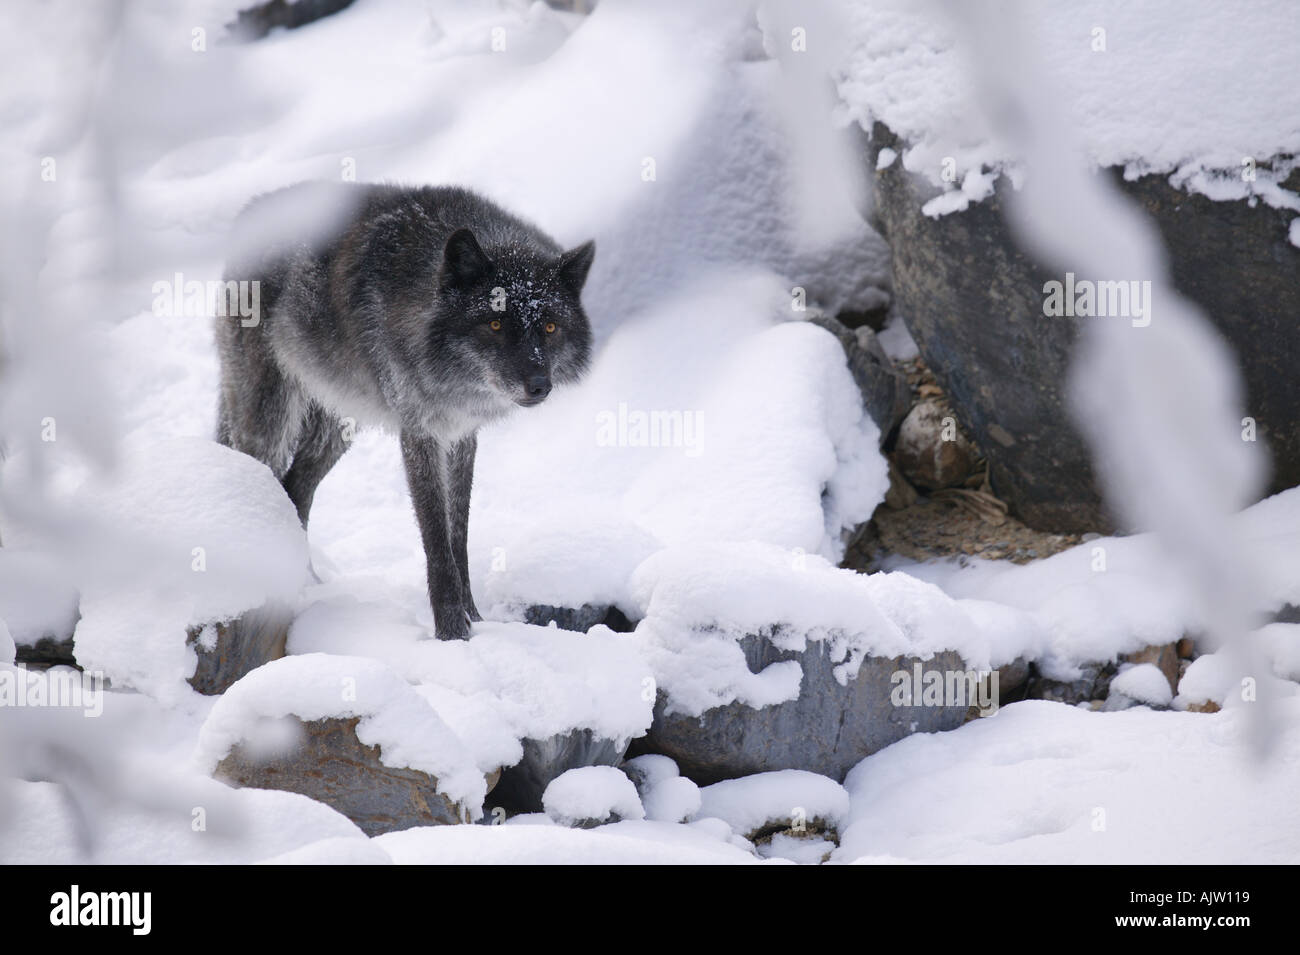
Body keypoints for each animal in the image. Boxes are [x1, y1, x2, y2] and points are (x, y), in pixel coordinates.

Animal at [215, 182, 595, 639]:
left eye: (551, 327)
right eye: (495, 325)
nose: (539, 385)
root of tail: (249, 212)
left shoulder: (461, 436)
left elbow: (458, 535)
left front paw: (475, 619)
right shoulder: (420, 434)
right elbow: (436, 540)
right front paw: (452, 634)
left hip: (338, 428)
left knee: (296, 491)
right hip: (269, 419)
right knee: (262, 477)